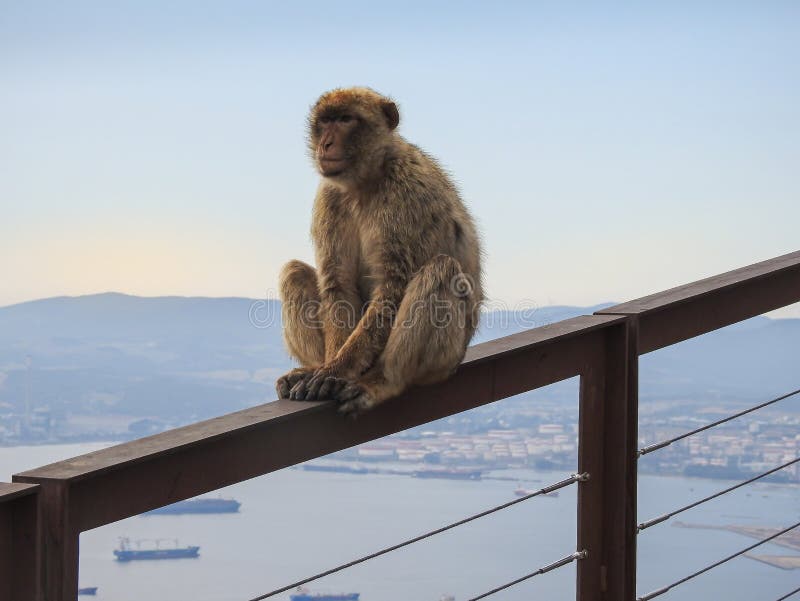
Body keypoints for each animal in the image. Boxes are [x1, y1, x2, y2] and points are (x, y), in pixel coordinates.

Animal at [276, 87, 483, 416]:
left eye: (345, 120)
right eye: (326, 121)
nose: (326, 143)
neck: (365, 181)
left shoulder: (405, 195)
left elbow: (391, 287)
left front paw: (336, 370)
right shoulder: (329, 197)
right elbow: (338, 284)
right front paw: (329, 365)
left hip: (447, 357)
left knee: (441, 268)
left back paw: (382, 380)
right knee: (293, 271)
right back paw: (310, 368)